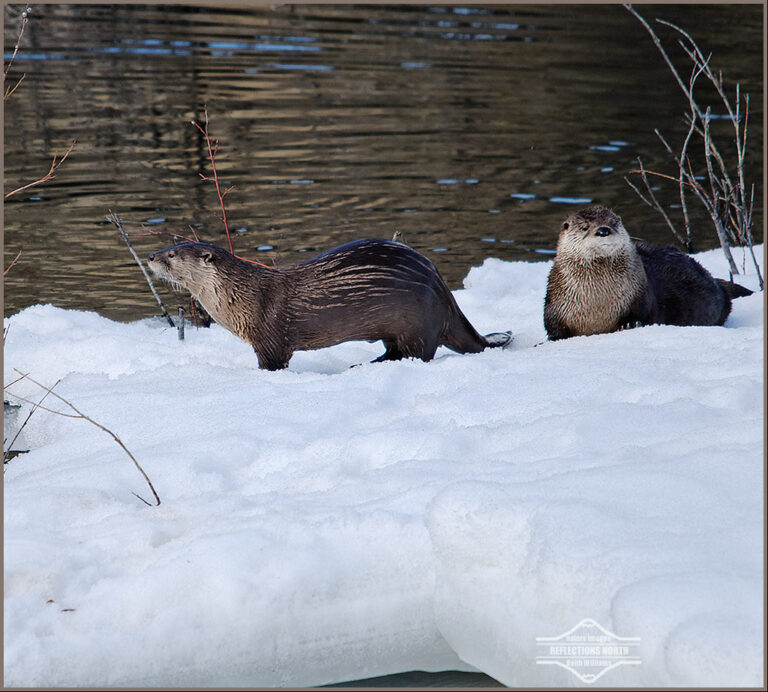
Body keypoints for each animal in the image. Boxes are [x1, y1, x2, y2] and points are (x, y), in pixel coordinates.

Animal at [148, 239, 512, 370]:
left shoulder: (270, 338)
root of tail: (443, 292)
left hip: (419, 322)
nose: (151, 255)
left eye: (173, 254)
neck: (246, 296)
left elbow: (273, 364)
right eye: (168, 244)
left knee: (416, 354)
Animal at [543, 206, 753, 340]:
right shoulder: (556, 307)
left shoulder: (640, 296)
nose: (603, 230)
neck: (597, 303)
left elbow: (644, 314)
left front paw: (629, 324)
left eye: (613, 223)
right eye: (584, 227)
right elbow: (553, 330)